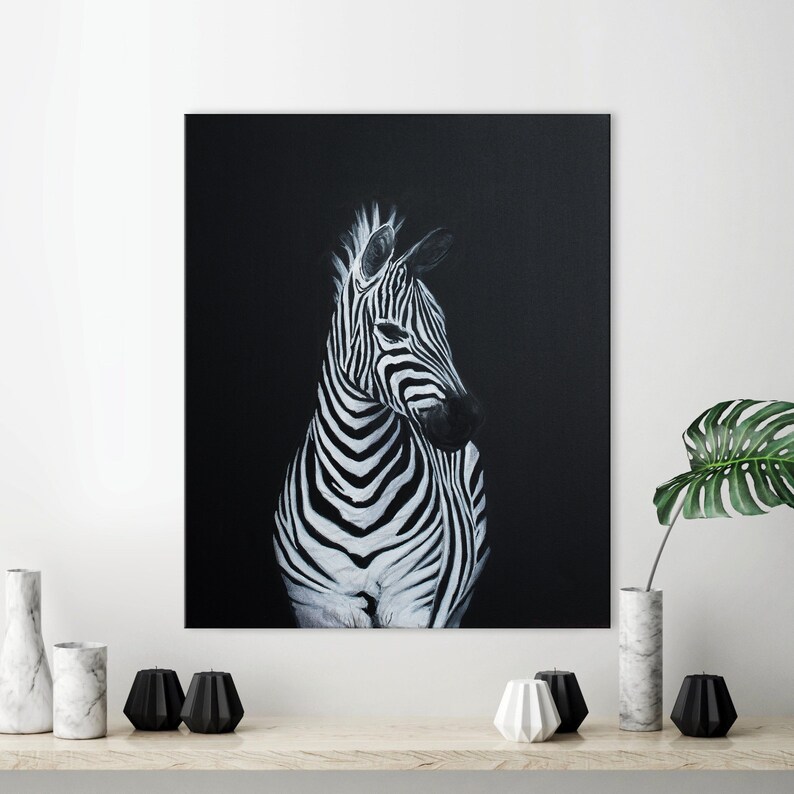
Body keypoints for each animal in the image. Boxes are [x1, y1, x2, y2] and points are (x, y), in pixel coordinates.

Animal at [274, 205, 489, 628]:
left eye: (442, 328)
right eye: (389, 332)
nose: (467, 418)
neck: (359, 482)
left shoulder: (411, 602)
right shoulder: (318, 606)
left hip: (461, 597)